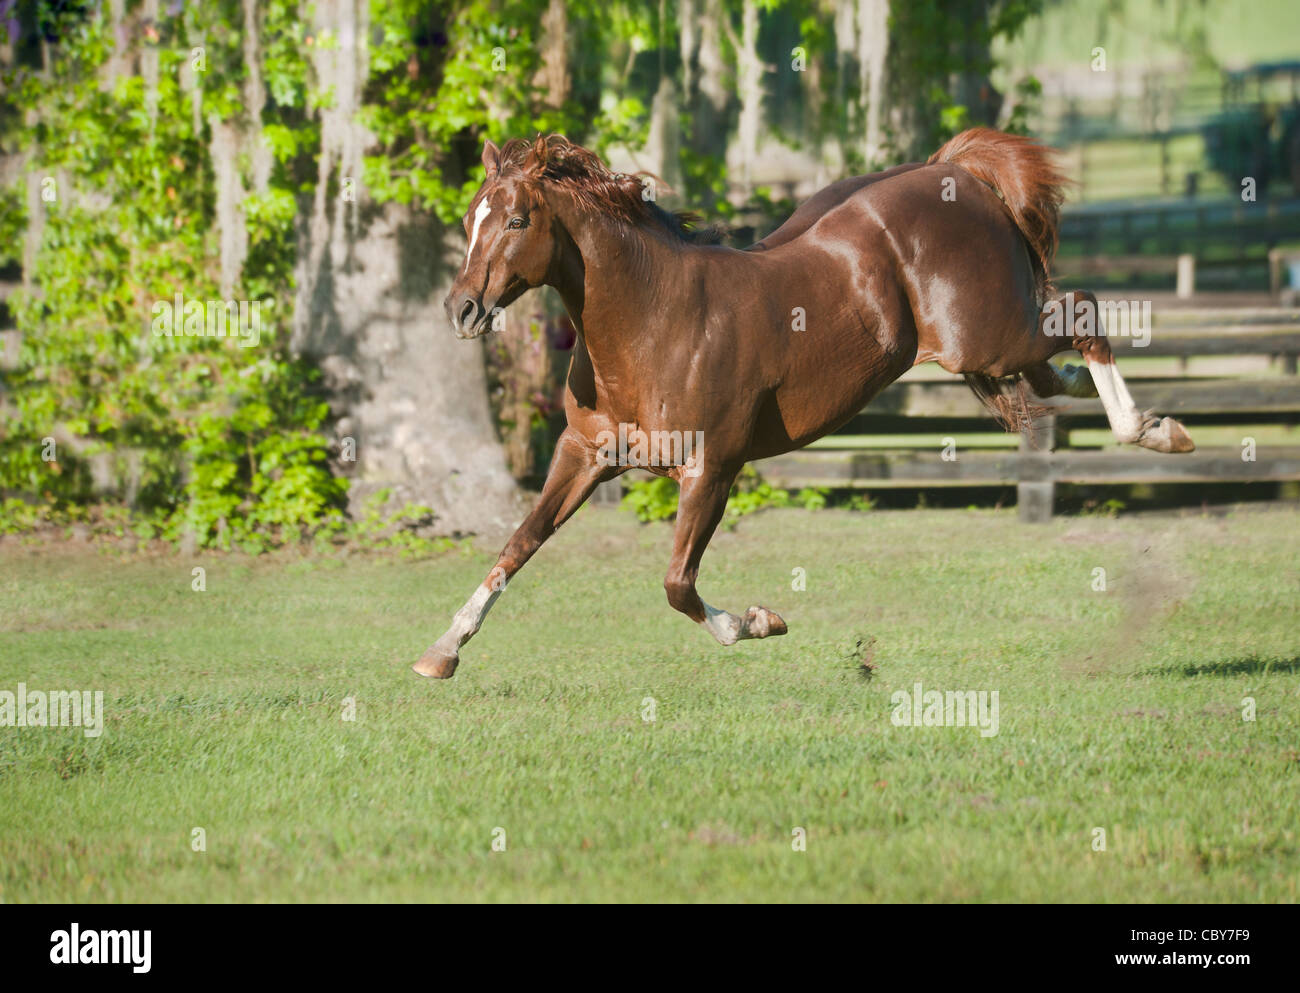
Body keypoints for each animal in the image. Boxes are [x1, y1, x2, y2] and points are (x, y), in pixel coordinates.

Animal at [414, 128, 1194, 679]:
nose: (461, 309)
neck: (653, 319)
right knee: (1054, 372)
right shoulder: (584, 455)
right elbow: (517, 544)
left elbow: (676, 583)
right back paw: (1141, 419)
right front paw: (441, 650)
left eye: (517, 220)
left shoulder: (712, 469)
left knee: (1085, 313)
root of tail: (960, 174)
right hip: (988, 349)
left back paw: (1158, 431)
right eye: (471, 216)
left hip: (988, 335)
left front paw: (758, 621)